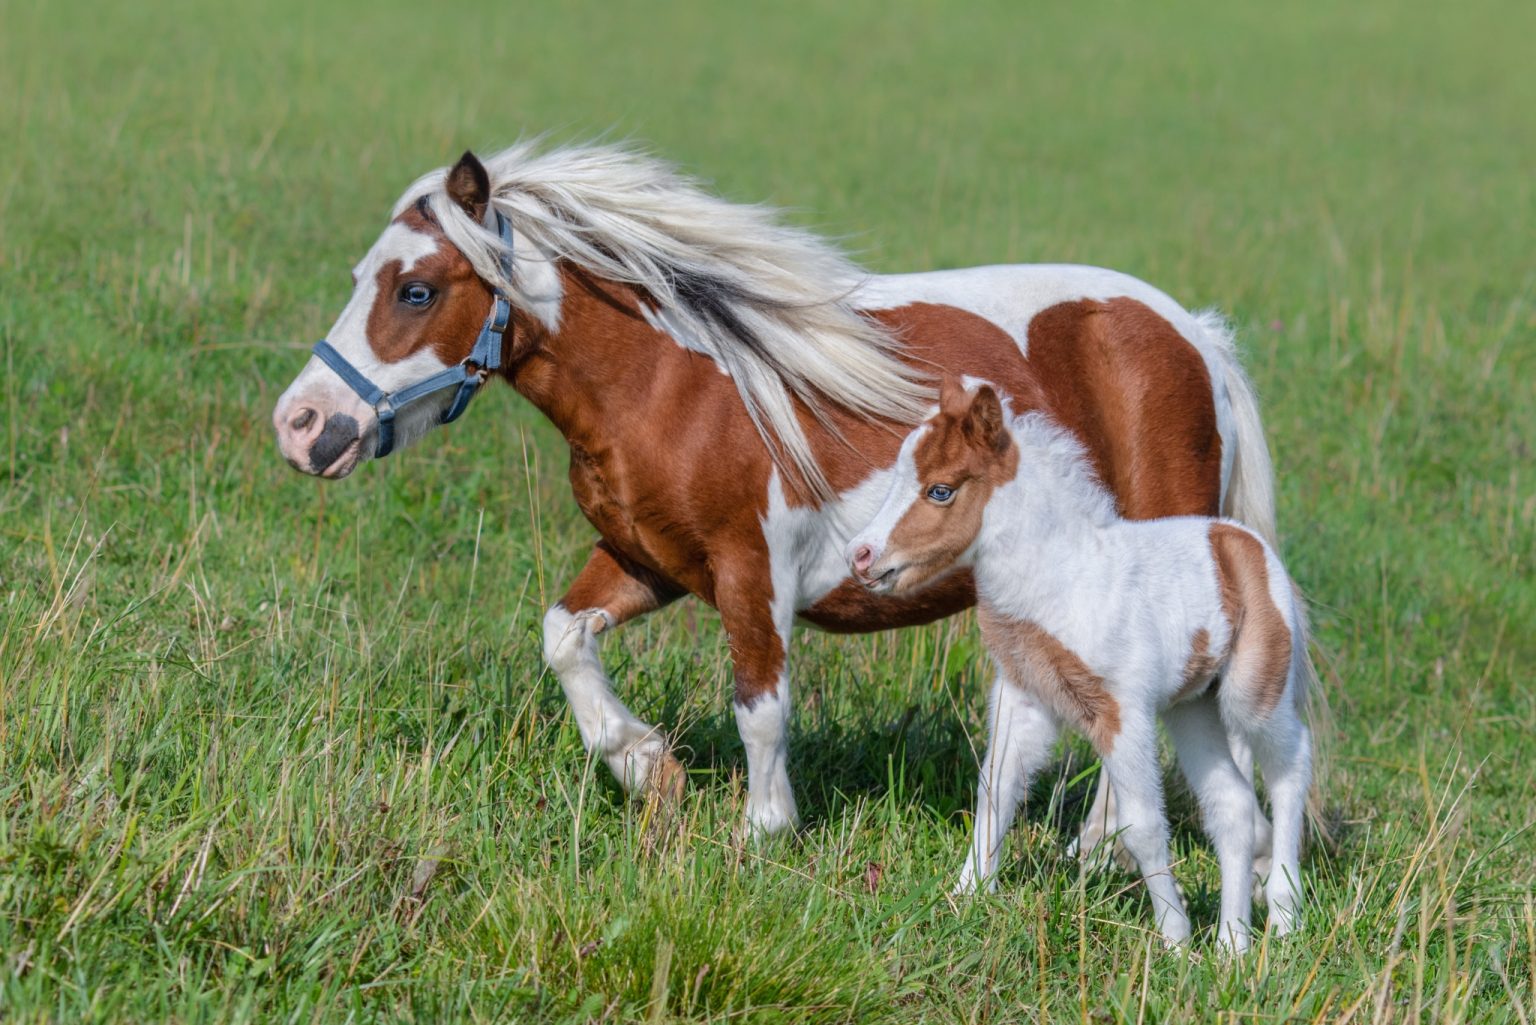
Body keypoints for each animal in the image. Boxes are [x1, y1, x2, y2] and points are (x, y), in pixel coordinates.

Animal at [272, 142, 1281, 863]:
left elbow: (760, 701)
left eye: (415, 288)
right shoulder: (648, 560)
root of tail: (1193, 334)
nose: (303, 425)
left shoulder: (750, 569)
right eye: (364, 276)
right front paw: (648, 769)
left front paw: (762, 828)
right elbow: (563, 635)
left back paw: (1102, 849)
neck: (675, 379)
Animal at [846, 379, 1311, 951]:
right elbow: (996, 790)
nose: (860, 556)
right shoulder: (1023, 696)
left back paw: (1284, 915)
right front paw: (963, 898)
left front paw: (1175, 941)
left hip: (1253, 694)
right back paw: (1231, 947)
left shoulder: (1121, 711)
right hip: (1191, 709)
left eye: (940, 490)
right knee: (1232, 805)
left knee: (1291, 766)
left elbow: (1141, 824)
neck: (1061, 578)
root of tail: (1245, 541)